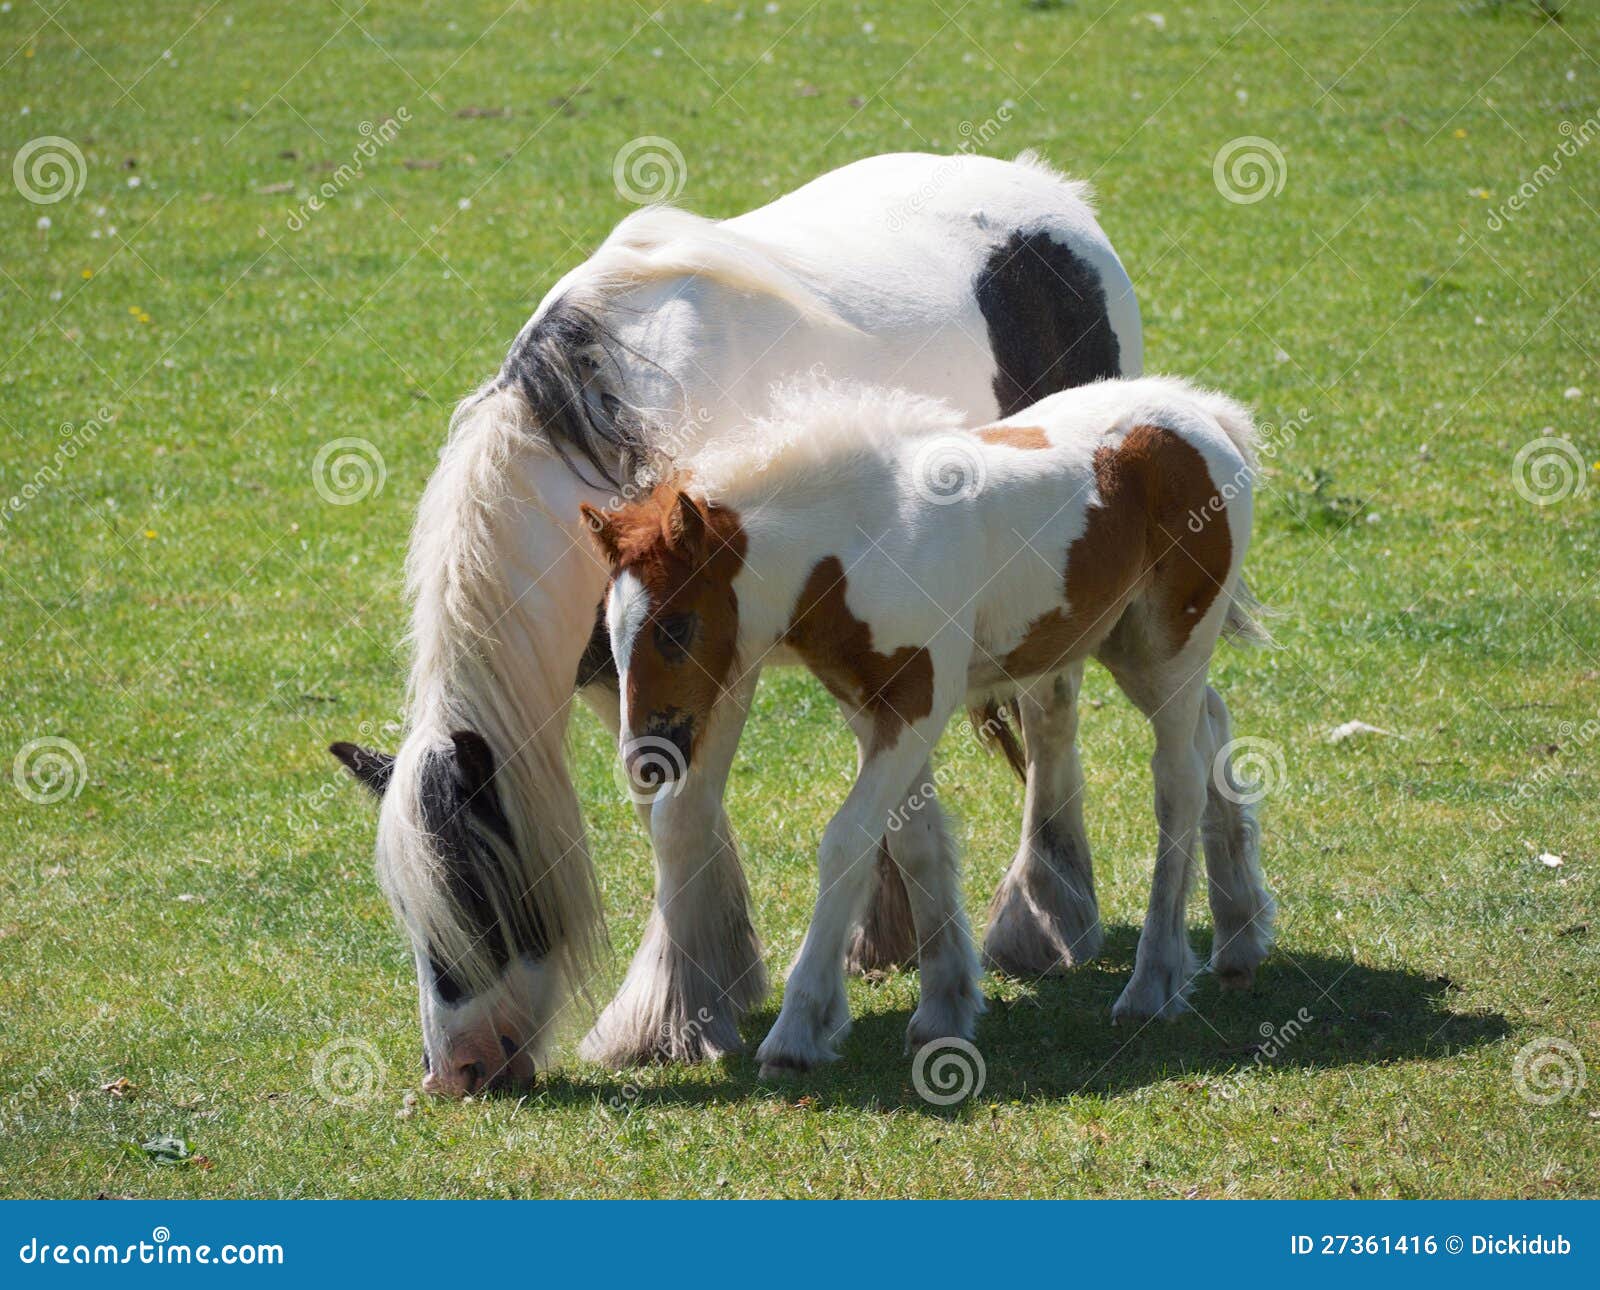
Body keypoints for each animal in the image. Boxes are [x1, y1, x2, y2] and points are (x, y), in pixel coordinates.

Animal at [330, 151, 1143, 1095]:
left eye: (480, 901)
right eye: (407, 912)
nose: (455, 1072)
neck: (616, 429)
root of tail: (1052, 198)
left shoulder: (717, 660)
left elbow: (682, 819)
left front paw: (669, 1019)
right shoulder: (629, 678)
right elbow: (681, 818)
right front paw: (711, 985)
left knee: (1050, 718)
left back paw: (1048, 916)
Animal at [585, 376, 1277, 1074]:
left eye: (675, 628)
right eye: (610, 632)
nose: (645, 760)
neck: (862, 542)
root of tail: (1201, 410)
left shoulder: (922, 702)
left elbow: (848, 841)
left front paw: (797, 1031)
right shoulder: (871, 709)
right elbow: (913, 841)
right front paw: (943, 1009)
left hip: (1171, 648)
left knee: (1178, 783)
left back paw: (1152, 984)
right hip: (1126, 643)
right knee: (1213, 725)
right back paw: (1240, 940)